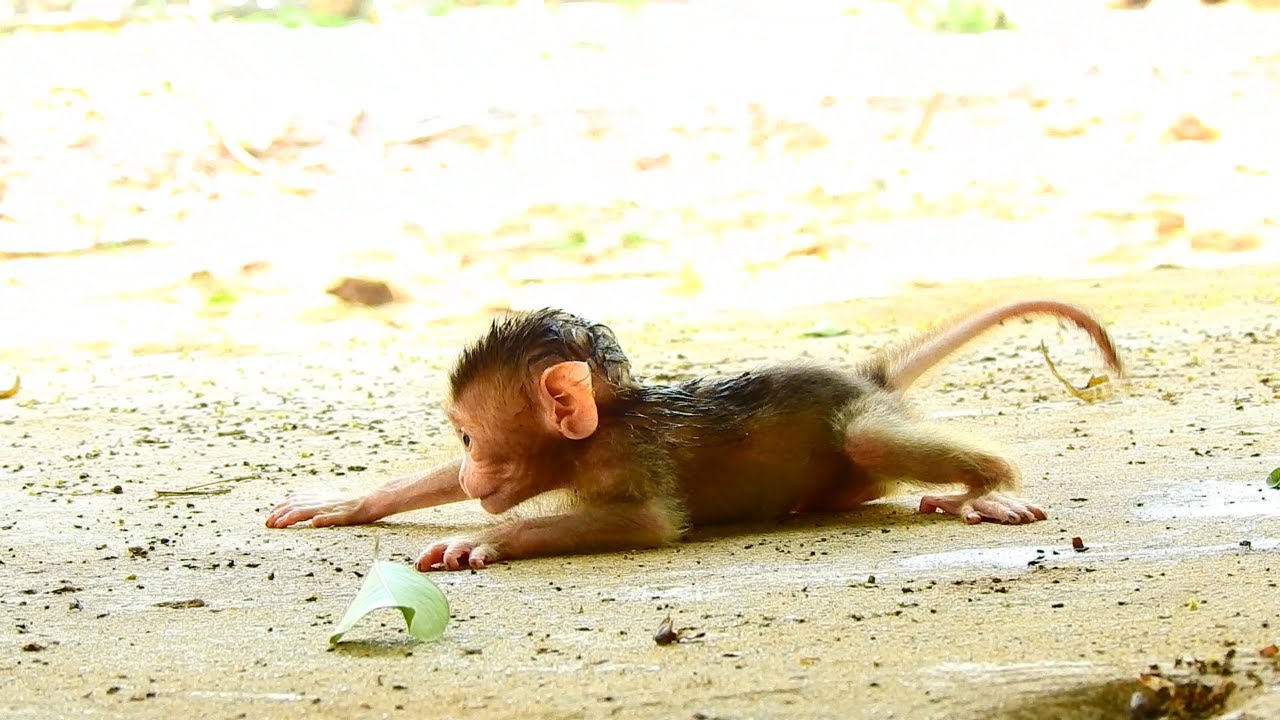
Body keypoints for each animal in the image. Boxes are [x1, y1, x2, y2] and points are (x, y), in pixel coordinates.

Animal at [266, 299, 1121, 572]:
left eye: (474, 439)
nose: (475, 475)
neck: (599, 428)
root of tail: (866, 377)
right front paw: (348, 503)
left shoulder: (624, 454)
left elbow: (651, 522)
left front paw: (487, 540)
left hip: (864, 425)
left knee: (871, 445)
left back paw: (986, 489)